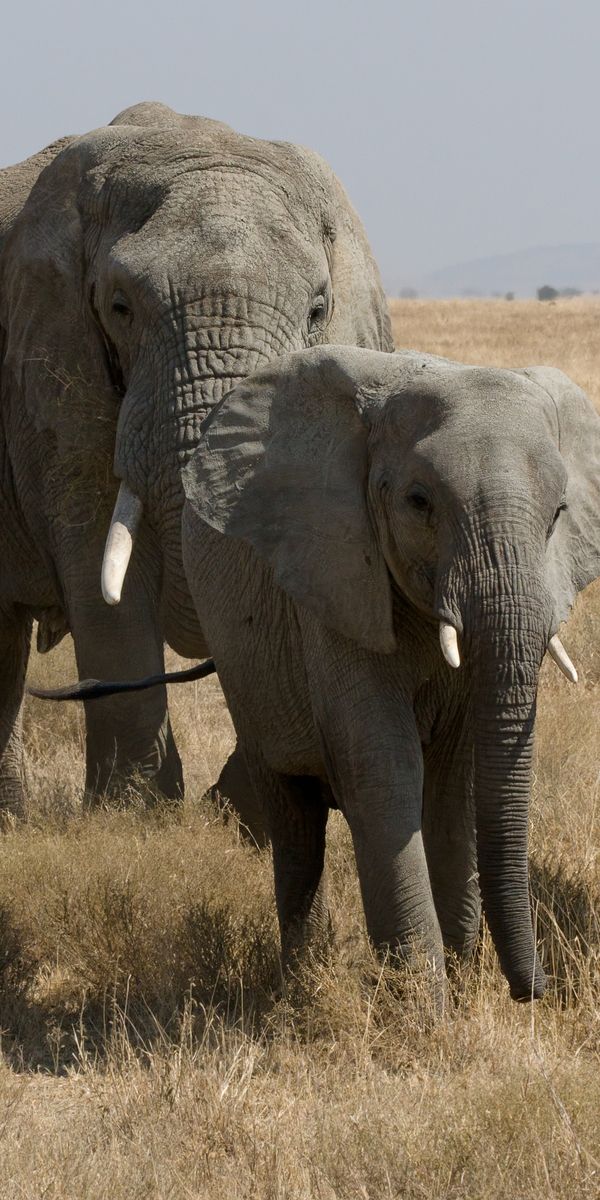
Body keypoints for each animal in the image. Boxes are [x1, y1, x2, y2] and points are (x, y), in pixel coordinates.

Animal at [0, 100, 392, 814]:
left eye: (318, 309)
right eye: (120, 307)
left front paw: (241, 808)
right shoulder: (52, 357)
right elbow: (99, 564)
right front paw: (135, 814)